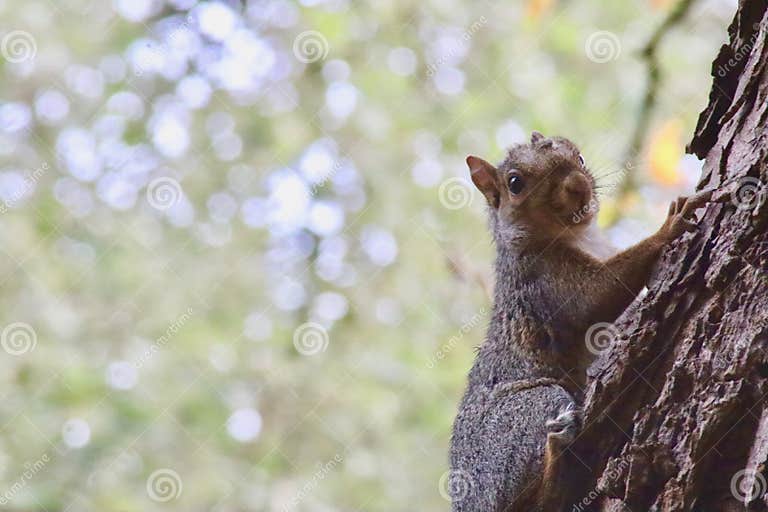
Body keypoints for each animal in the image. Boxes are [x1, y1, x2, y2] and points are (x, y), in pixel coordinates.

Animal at [448, 131, 716, 511]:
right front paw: (669, 226)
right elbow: (596, 298)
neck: (574, 236)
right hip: (529, 413)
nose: (576, 185)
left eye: (579, 157)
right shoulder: (544, 280)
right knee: (540, 500)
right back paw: (558, 456)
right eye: (515, 183)